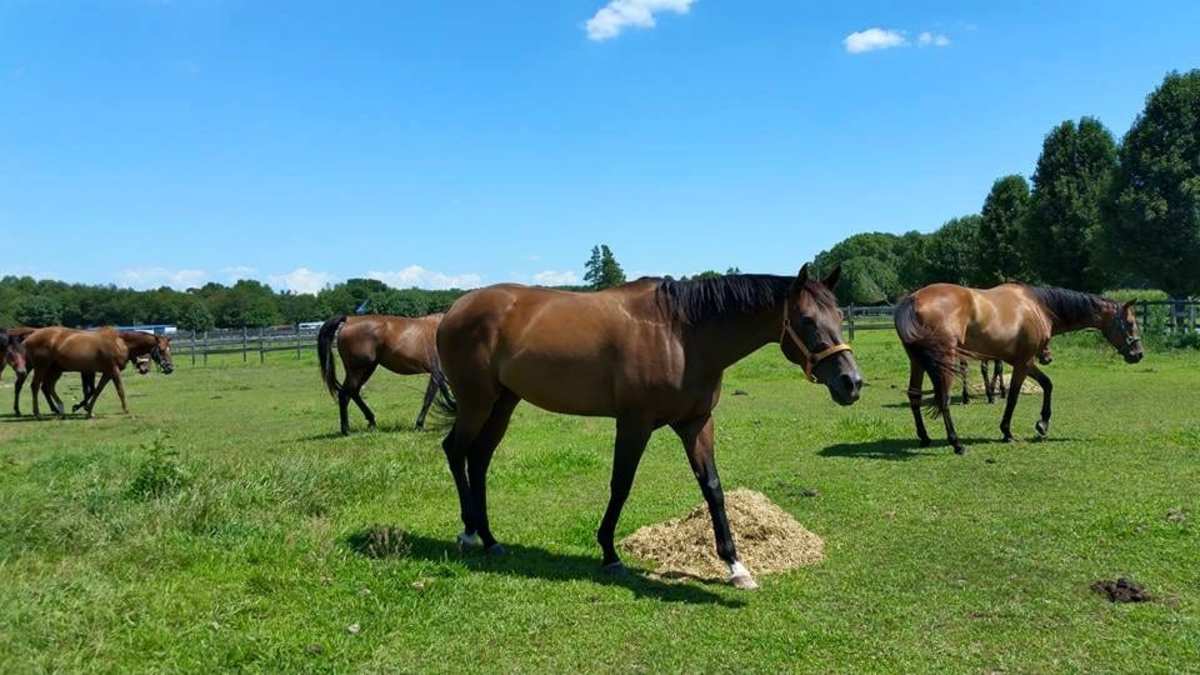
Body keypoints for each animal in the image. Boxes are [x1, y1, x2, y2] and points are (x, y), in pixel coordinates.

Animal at [23, 327, 174, 418]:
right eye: (161, 350)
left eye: (169, 349)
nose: (170, 368)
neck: (120, 342)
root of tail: (29, 337)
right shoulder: (113, 370)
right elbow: (120, 390)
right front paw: (126, 410)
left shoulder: (107, 372)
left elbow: (97, 390)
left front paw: (89, 411)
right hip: (42, 367)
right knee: (36, 386)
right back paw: (38, 413)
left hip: (55, 369)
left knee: (48, 386)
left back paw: (60, 408)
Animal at [317, 314, 454, 435]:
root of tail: (349, 319)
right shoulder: (437, 372)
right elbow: (434, 397)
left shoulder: (437, 373)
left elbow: (436, 396)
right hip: (358, 370)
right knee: (345, 395)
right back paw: (346, 430)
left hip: (366, 369)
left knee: (354, 392)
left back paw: (371, 421)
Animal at [436, 265, 863, 590]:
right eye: (807, 320)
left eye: (841, 317)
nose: (851, 383)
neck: (681, 335)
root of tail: (454, 310)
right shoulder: (634, 423)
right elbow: (621, 485)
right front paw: (609, 553)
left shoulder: (695, 423)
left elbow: (713, 488)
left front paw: (736, 566)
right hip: (477, 402)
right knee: (456, 451)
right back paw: (469, 533)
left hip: (504, 402)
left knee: (479, 458)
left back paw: (489, 539)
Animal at [895, 283, 1142, 454]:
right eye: (1130, 323)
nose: (1138, 354)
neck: (1037, 306)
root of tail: (913, 299)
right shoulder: (1023, 362)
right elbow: (1013, 397)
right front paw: (1007, 431)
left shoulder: (1023, 362)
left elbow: (1047, 384)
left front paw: (1042, 424)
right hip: (945, 360)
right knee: (943, 398)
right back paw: (956, 443)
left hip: (917, 362)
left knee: (914, 396)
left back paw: (924, 437)